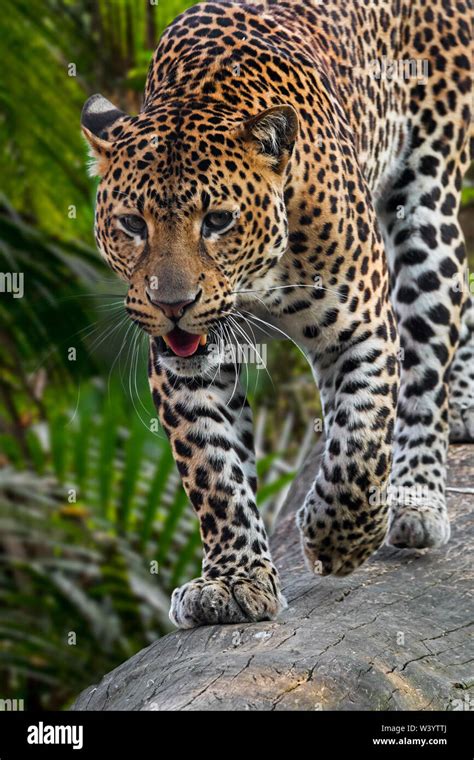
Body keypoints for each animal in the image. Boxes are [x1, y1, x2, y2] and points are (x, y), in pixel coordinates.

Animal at [81, 0, 473, 629]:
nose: (172, 305)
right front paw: (233, 580)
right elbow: (214, 469)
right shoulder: (184, 364)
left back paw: (416, 497)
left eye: (218, 220)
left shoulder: (362, 330)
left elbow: (359, 445)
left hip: (425, 209)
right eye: (132, 224)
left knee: (426, 356)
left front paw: (338, 537)